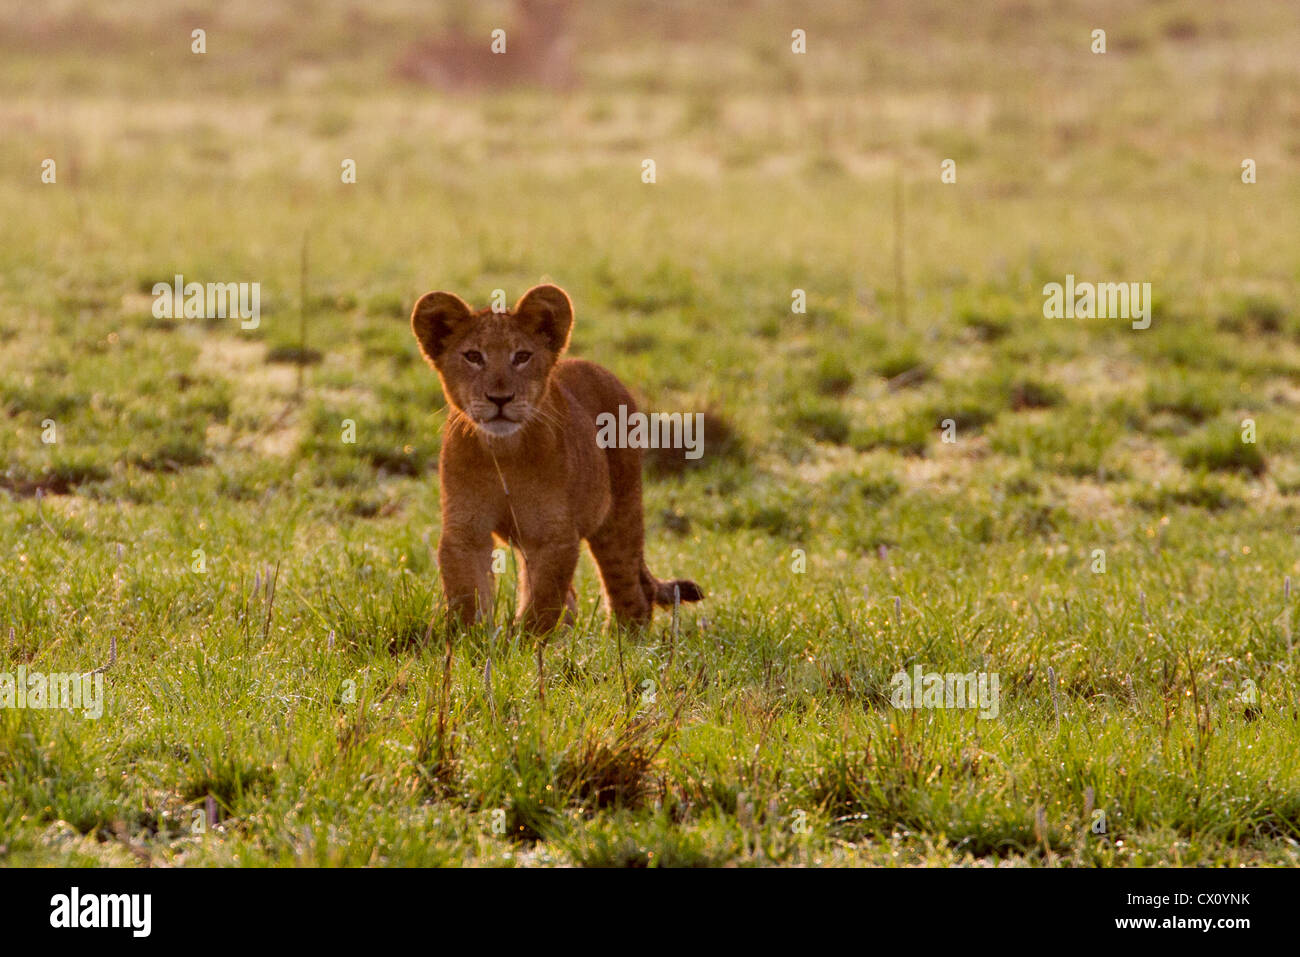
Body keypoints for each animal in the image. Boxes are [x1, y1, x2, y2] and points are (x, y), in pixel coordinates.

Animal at [410, 283, 703, 633]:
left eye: (522, 356)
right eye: (473, 356)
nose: (500, 398)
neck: (504, 451)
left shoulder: (553, 534)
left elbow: (544, 601)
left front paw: (525, 642)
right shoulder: (466, 530)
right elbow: (467, 594)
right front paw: (469, 640)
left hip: (618, 515)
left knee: (631, 590)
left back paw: (623, 641)